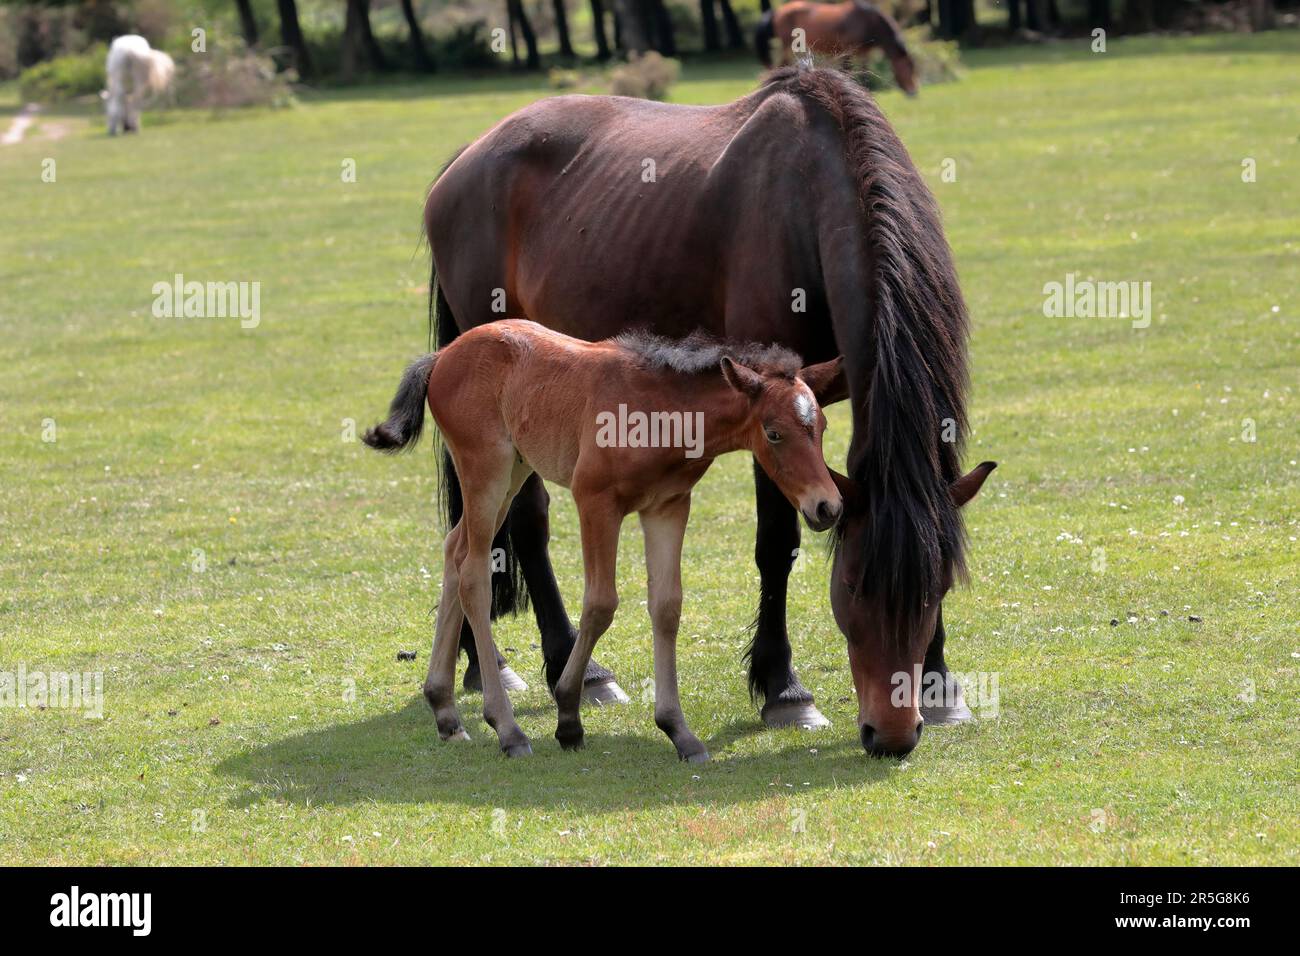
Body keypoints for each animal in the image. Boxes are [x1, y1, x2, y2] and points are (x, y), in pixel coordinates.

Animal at [364, 320, 844, 759]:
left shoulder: (668, 507)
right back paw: (508, 729)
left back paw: (445, 711)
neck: (661, 412)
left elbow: (667, 606)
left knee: (454, 551)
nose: (828, 507)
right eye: (773, 432)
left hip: (514, 471)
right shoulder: (595, 502)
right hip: (486, 470)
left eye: (821, 427)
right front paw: (569, 716)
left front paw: (678, 730)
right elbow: (600, 603)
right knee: (473, 576)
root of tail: (442, 356)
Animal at [424, 64, 994, 757]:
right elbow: (777, 544)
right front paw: (785, 690)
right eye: (854, 584)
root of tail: (469, 156)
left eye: (937, 588)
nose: (891, 735)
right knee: (511, 526)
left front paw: (940, 685)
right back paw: (560, 670)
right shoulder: (763, 419)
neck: (809, 199)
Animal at [755, 1, 919, 97]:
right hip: (786, 44)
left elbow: (864, 71)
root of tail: (777, 12)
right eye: (908, 69)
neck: (869, 22)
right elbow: (847, 71)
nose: (913, 92)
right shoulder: (847, 50)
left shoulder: (864, 53)